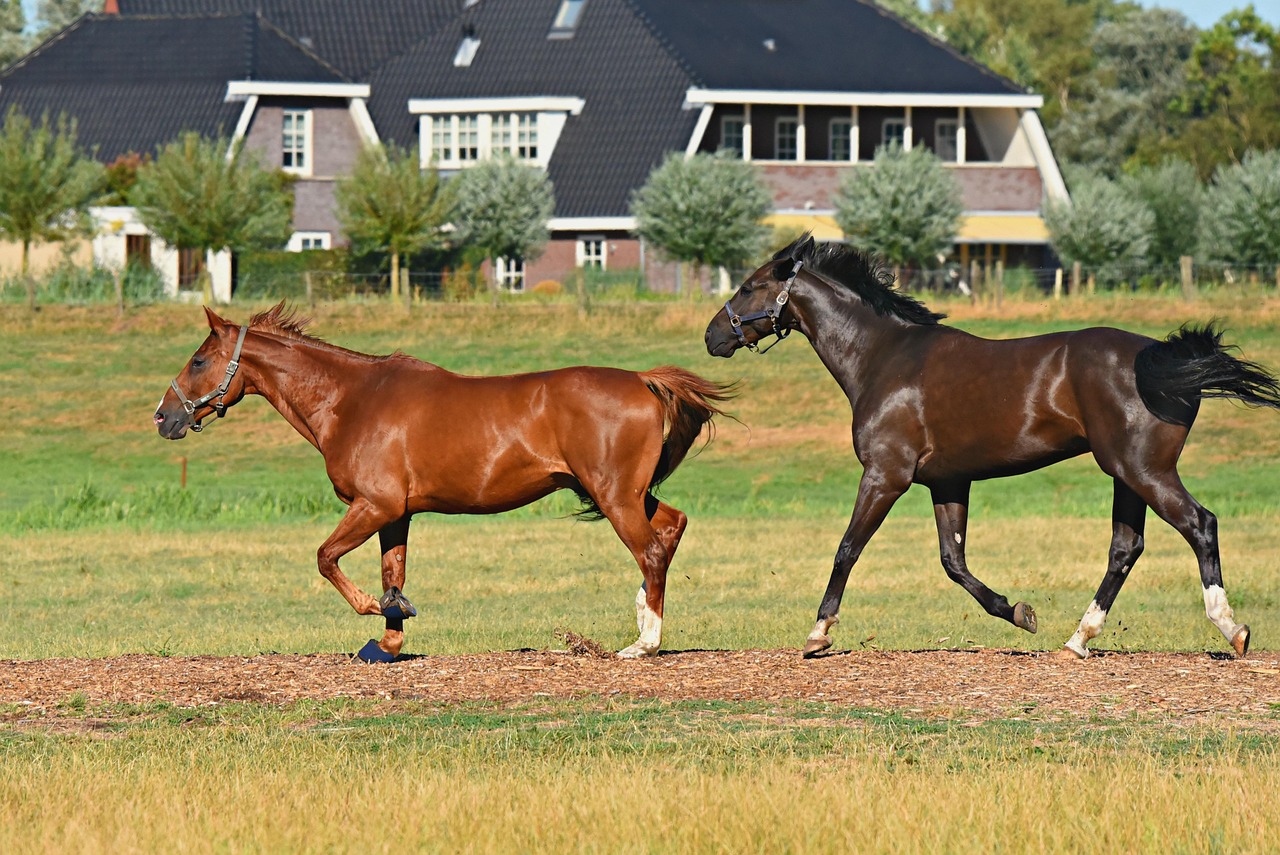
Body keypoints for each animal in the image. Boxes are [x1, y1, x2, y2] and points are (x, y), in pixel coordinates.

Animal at [155, 302, 732, 661]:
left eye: (199, 360)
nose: (164, 417)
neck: (352, 399)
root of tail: (642, 380)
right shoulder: (396, 514)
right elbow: (393, 573)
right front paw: (388, 638)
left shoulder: (375, 506)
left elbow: (326, 558)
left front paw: (377, 608)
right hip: (623, 494)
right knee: (671, 528)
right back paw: (640, 618)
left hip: (614, 497)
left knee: (650, 551)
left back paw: (644, 643)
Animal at [705, 233, 1280, 659]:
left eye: (749, 286)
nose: (713, 336)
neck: (883, 357)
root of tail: (1162, 359)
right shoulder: (947, 482)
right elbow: (953, 562)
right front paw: (1020, 613)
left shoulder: (886, 474)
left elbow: (848, 547)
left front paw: (818, 633)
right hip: (1126, 474)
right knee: (1125, 548)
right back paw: (1077, 639)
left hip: (1144, 470)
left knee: (1200, 524)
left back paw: (1232, 629)